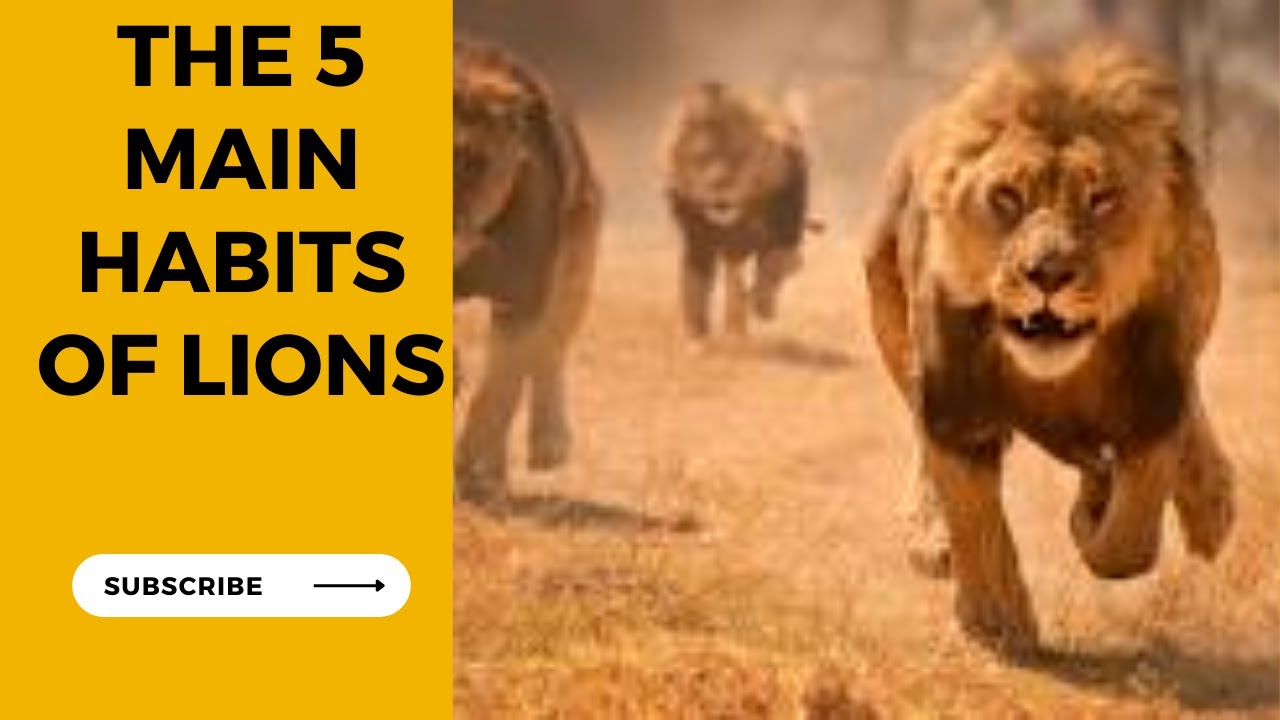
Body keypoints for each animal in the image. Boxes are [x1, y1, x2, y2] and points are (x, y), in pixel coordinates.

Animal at [453, 38, 601, 503]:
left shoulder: (523, 295)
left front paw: (474, 472)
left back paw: (544, 447)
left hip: (576, 269)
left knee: (549, 351)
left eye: (474, 162)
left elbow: (499, 388)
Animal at [662, 81, 813, 337]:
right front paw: (696, 334)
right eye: (701, 158)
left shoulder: (785, 224)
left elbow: (776, 262)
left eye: (735, 157)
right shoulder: (698, 240)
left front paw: (763, 305)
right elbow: (694, 284)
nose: (718, 183)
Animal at [862, 37, 1234, 653]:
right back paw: (931, 539)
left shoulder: (1154, 399)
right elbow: (976, 521)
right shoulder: (954, 409)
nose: (1048, 274)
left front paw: (1093, 515)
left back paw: (1209, 505)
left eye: (1101, 198)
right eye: (1007, 197)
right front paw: (994, 618)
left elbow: (1128, 541)